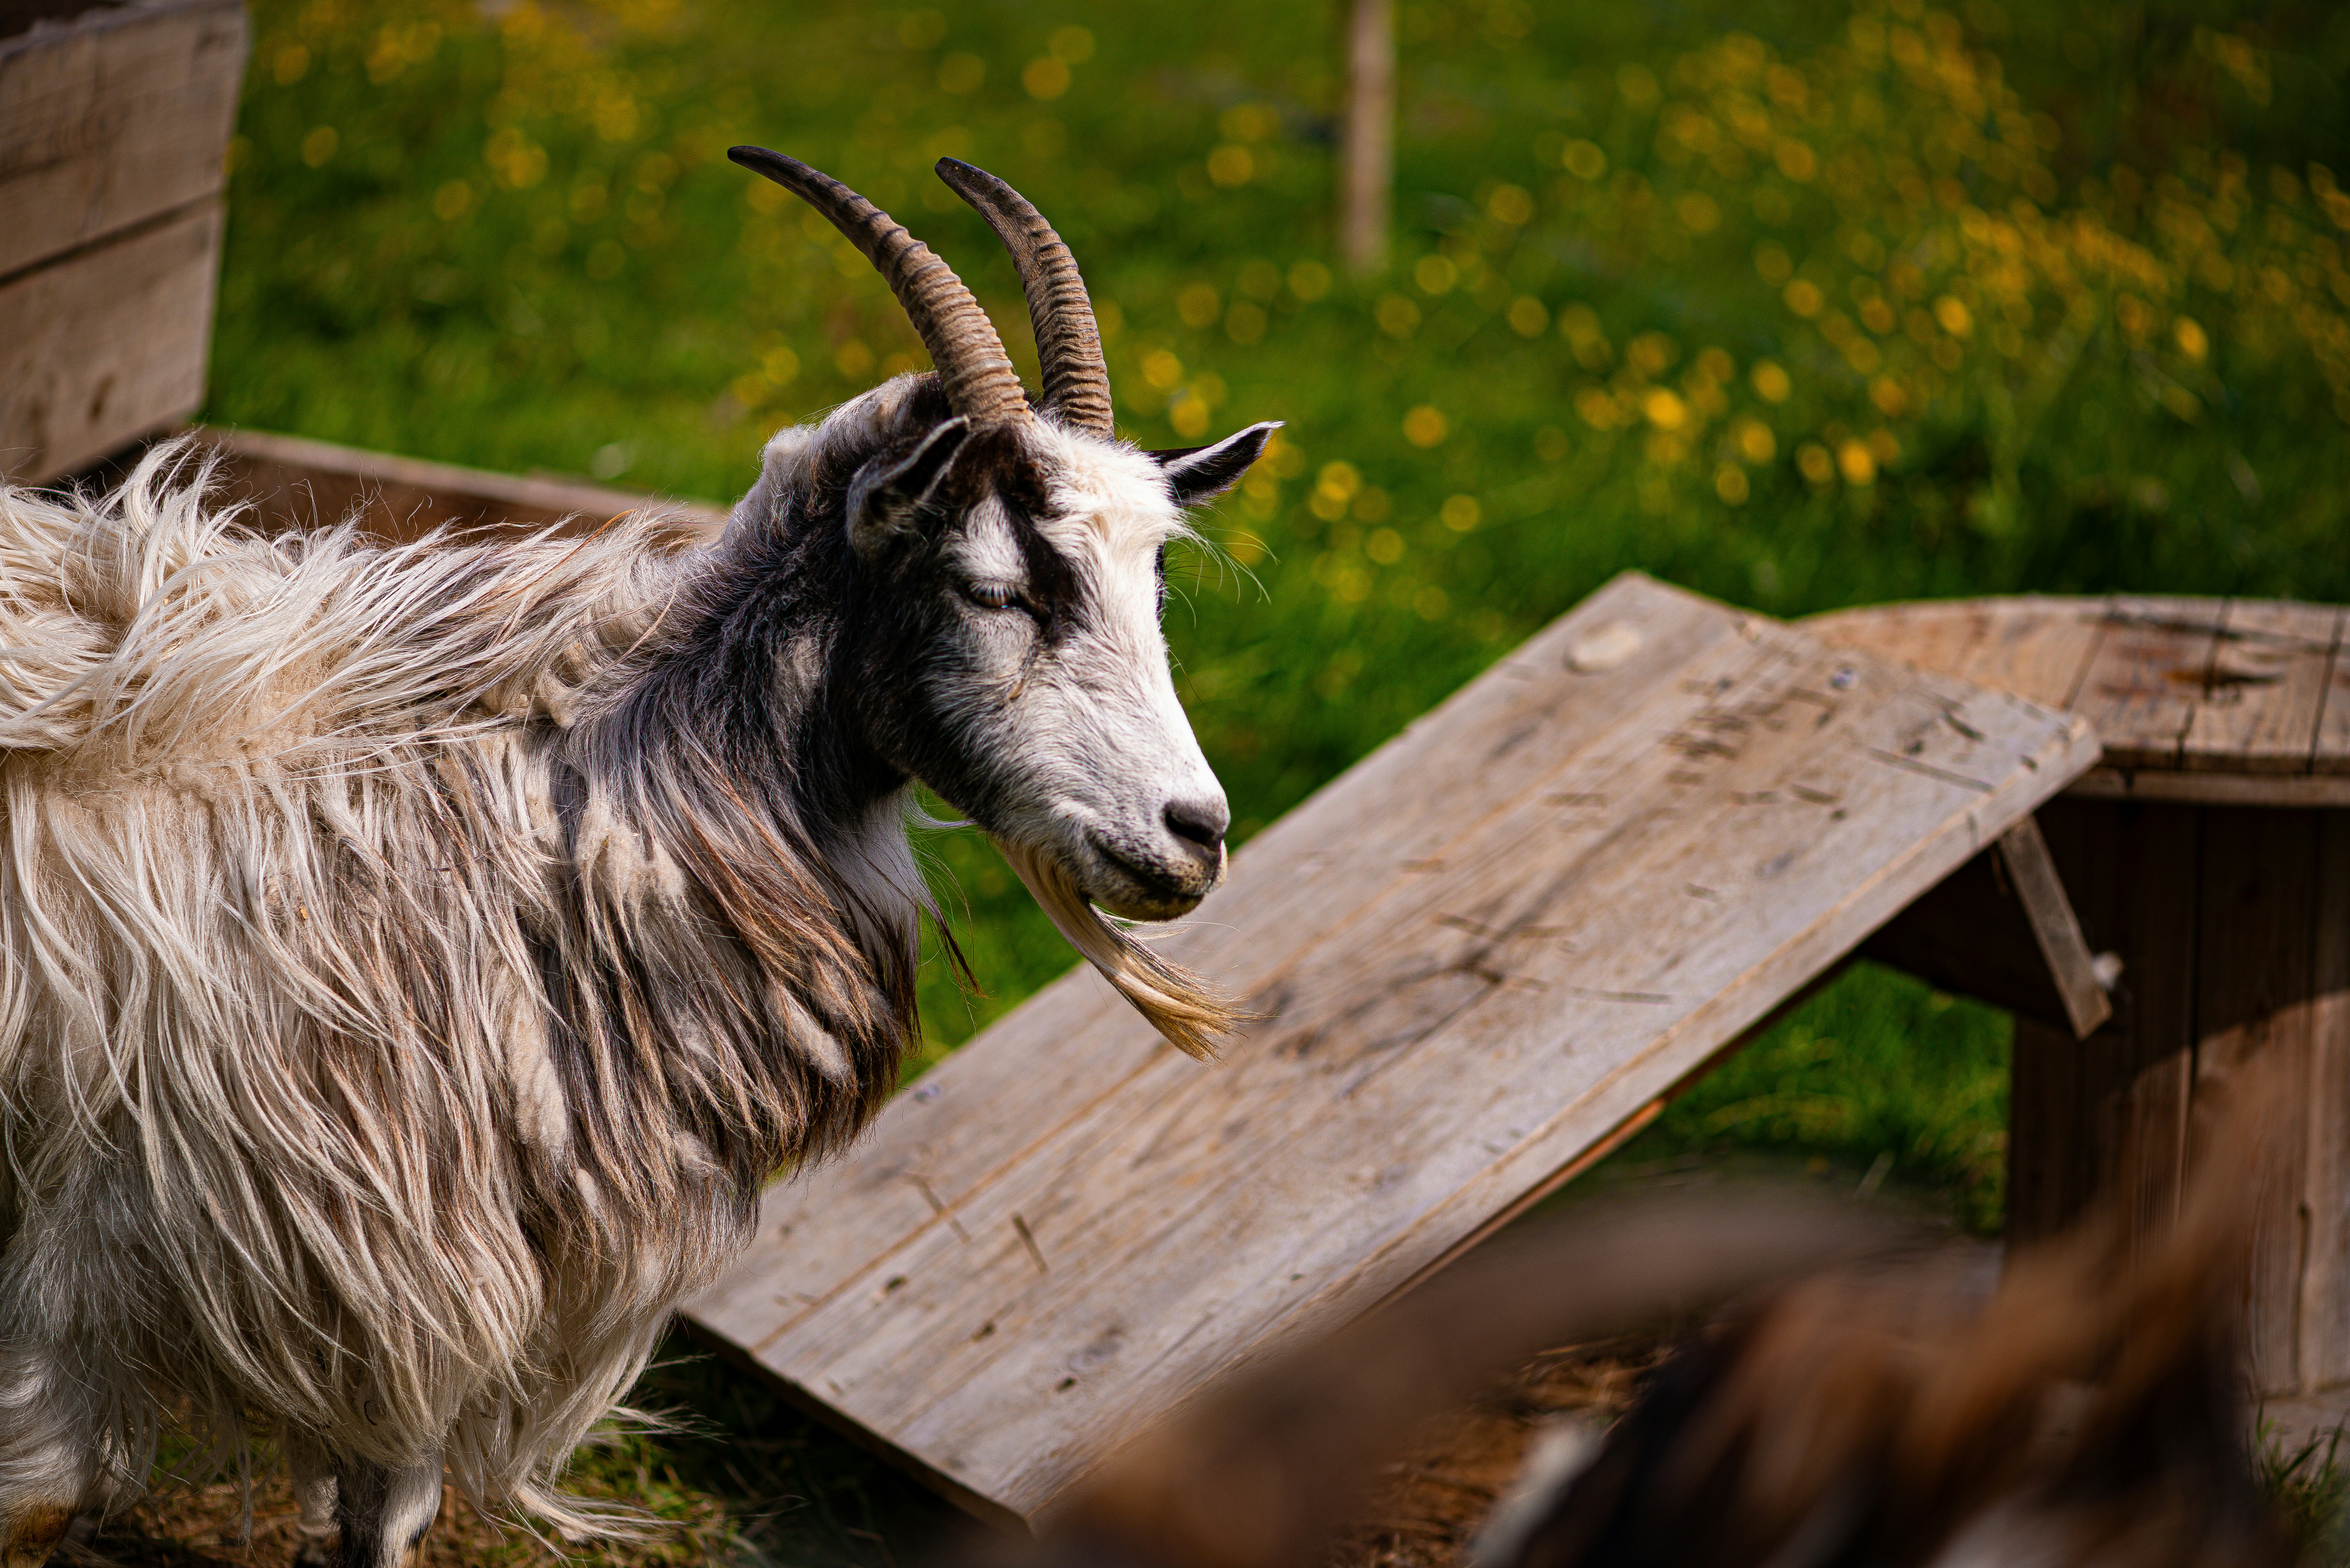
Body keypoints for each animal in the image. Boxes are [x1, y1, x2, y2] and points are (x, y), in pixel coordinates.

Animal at [0, 151, 1273, 1568]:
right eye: (999, 589)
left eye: (1150, 585)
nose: (1195, 832)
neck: (557, 815)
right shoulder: (192, 1266)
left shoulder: (412, 1304)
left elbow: (380, 1518)